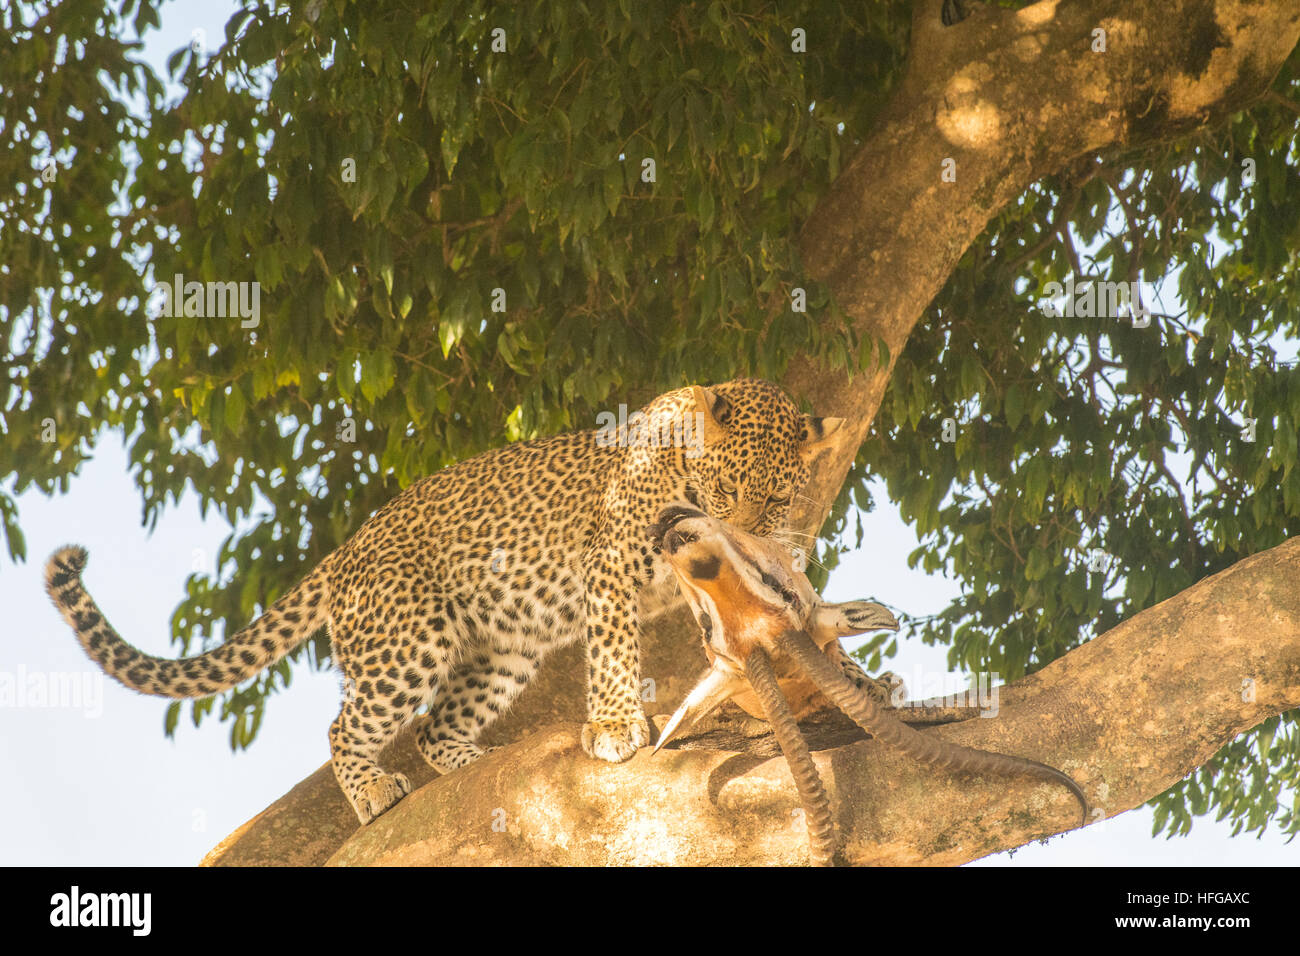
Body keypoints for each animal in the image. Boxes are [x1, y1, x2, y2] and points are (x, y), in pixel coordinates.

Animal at [44, 378, 870, 825]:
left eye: (776, 496)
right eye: (727, 487)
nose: (740, 531)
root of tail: (347, 549)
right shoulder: (609, 569)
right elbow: (612, 648)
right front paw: (612, 725)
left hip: (502, 650)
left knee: (437, 724)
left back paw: (479, 758)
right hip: (408, 643)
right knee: (347, 724)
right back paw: (374, 791)